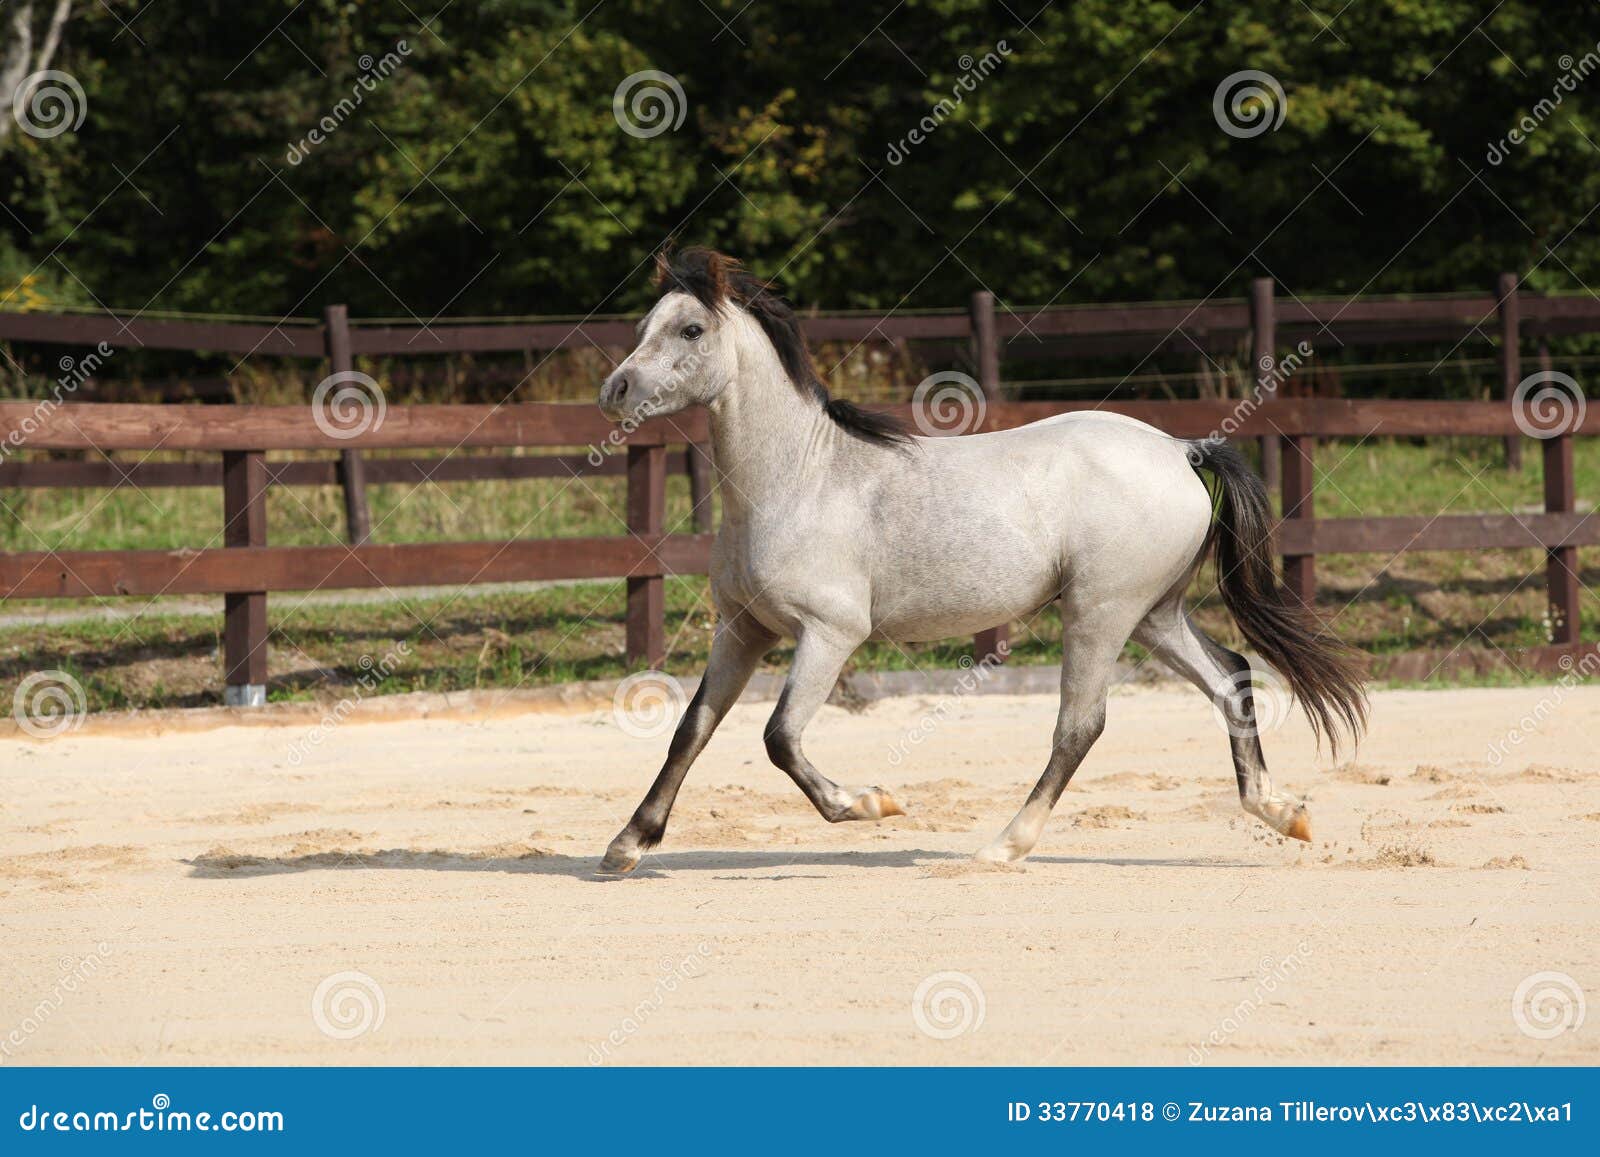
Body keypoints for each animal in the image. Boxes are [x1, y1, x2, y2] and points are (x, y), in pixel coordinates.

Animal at [594, 247, 1366, 874]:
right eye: (644, 324)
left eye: (691, 330)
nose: (615, 392)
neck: (799, 479)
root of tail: (1181, 449)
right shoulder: (743, 630)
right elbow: (691, 729)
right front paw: (627, 844)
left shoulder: (830, 632)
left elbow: (779, 736)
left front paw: (871, 803)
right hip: (1152, 613)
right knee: (1230, 677)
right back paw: (1283, 813)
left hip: (1100, 611)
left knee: (1079, 727)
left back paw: (1002, 845)